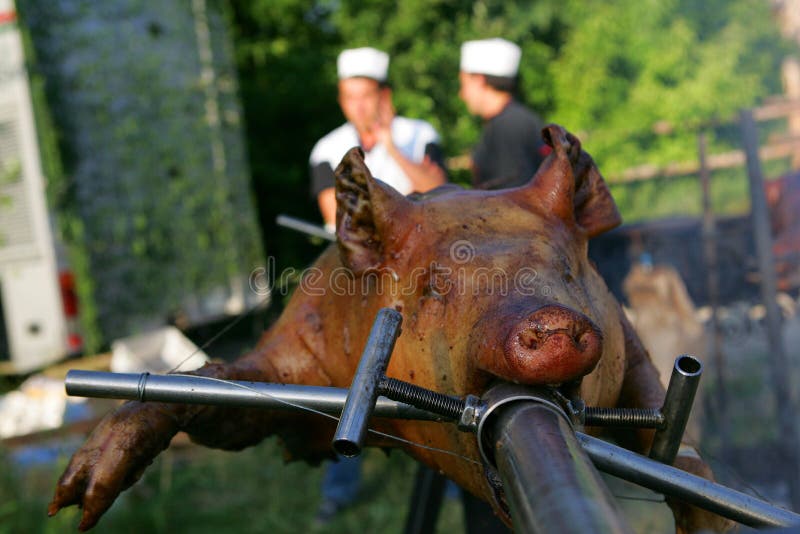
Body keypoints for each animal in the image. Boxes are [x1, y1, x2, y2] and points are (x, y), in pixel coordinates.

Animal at [49, 125, 729, 533]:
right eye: (435, 286)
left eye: (566, 269)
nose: (549, 320)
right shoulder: (294, 357)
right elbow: (221, 393)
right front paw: (75, 502)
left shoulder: (631, 345)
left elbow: (678, 450)